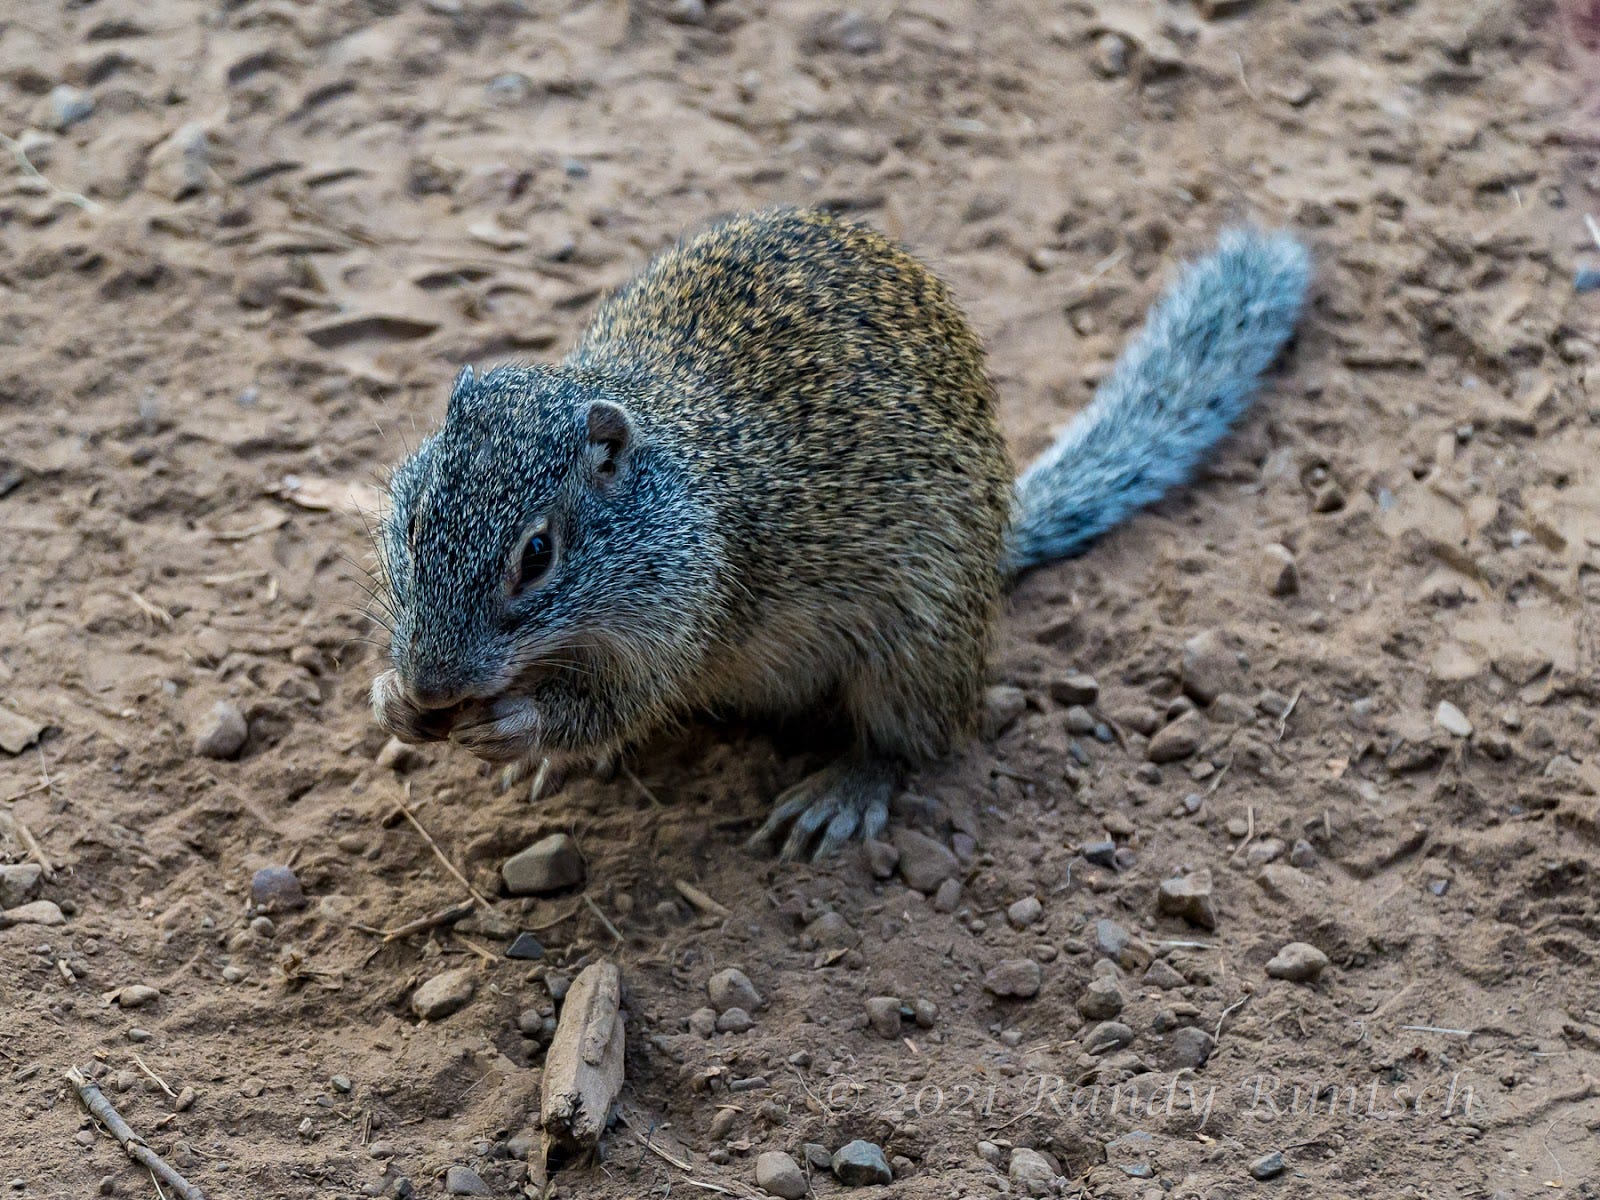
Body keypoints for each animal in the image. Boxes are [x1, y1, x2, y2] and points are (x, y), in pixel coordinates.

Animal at [370, 208, 1310, 861]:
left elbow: (615, 705)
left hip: (918, 645)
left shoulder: (682, 619)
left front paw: (519, 725)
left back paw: (843, 793)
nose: (433, 685)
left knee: (915, 739)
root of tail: (1002, 540)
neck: (670, 483)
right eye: (414, 525)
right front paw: (392, 701)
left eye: (537, 555)